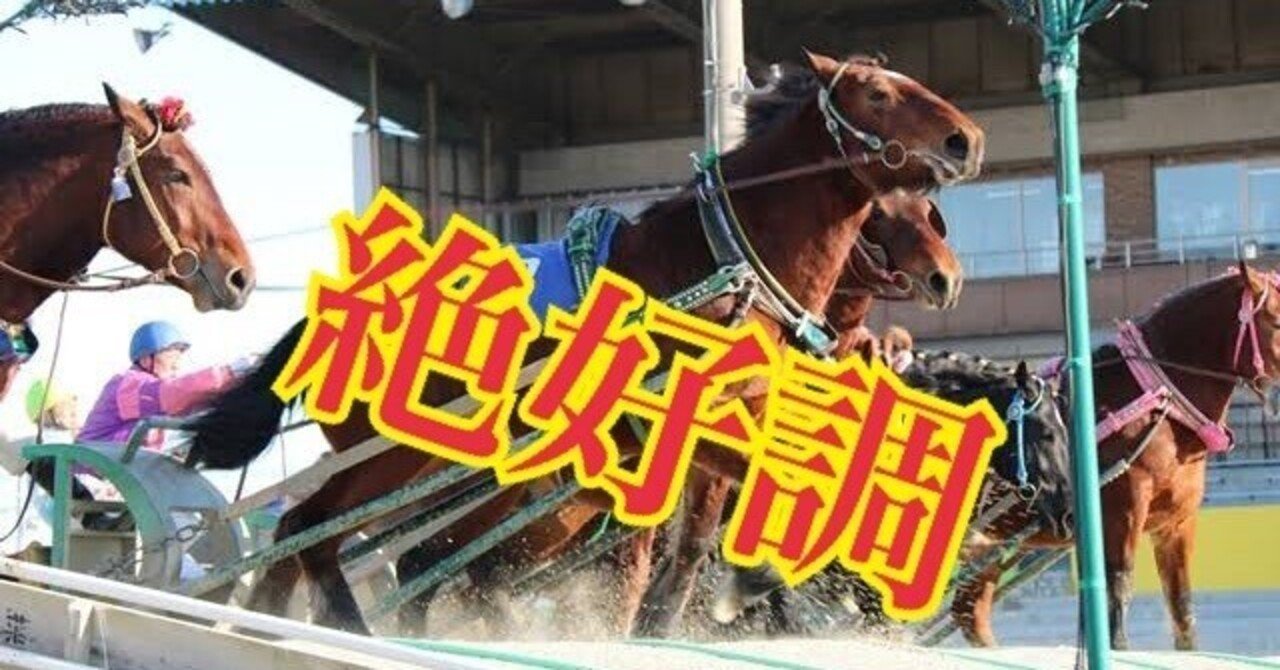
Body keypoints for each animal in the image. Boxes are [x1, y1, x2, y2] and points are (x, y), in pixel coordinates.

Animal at [949, 263, 1280, 651]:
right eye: (1275, 320)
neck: (1159, 403)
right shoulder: (1122, 509)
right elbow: (1118, 589)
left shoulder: (1176, 522)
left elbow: (1182, 606)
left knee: (970, 610)